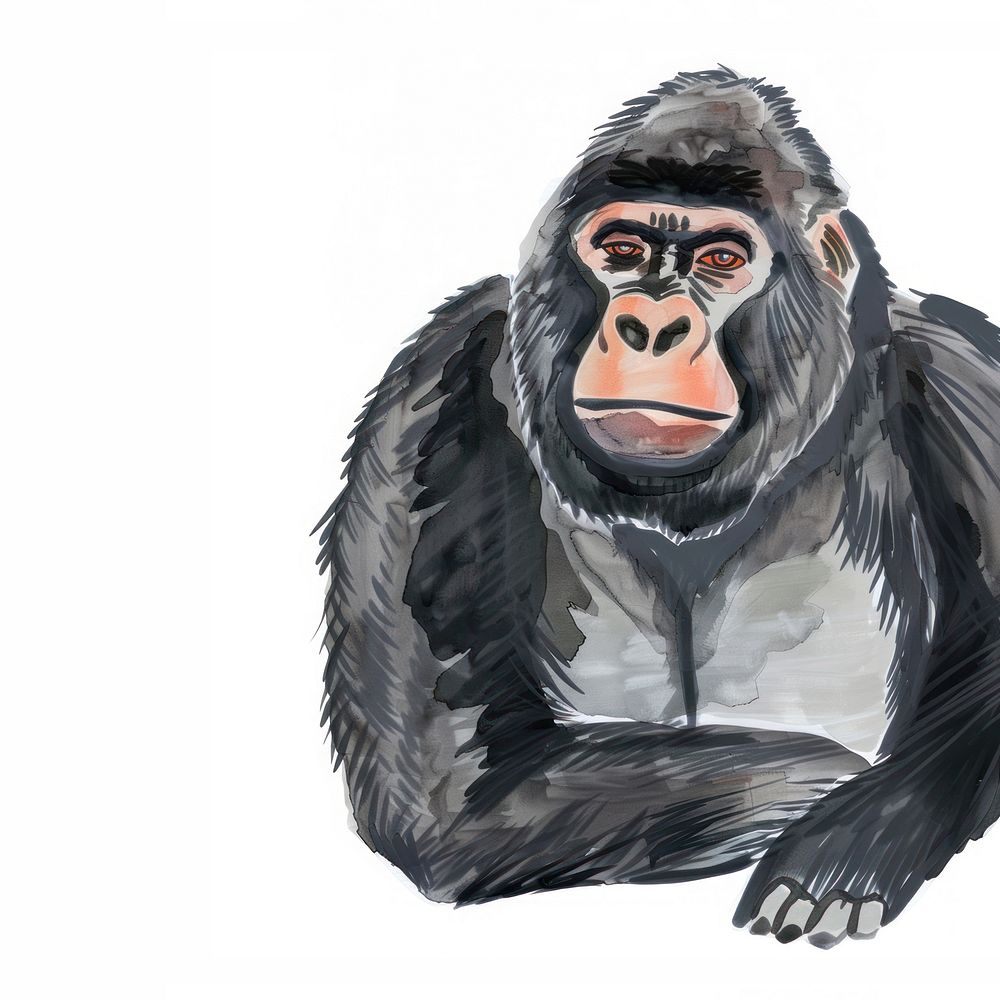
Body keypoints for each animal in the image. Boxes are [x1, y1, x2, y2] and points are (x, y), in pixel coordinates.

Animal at [315, 68, 1000, 947]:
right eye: (621, 251)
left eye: (720, 260)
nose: (649, 325)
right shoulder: (437, 370)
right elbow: (456, 800)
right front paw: (827, 784)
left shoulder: (965, 375)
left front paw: (850, 842)